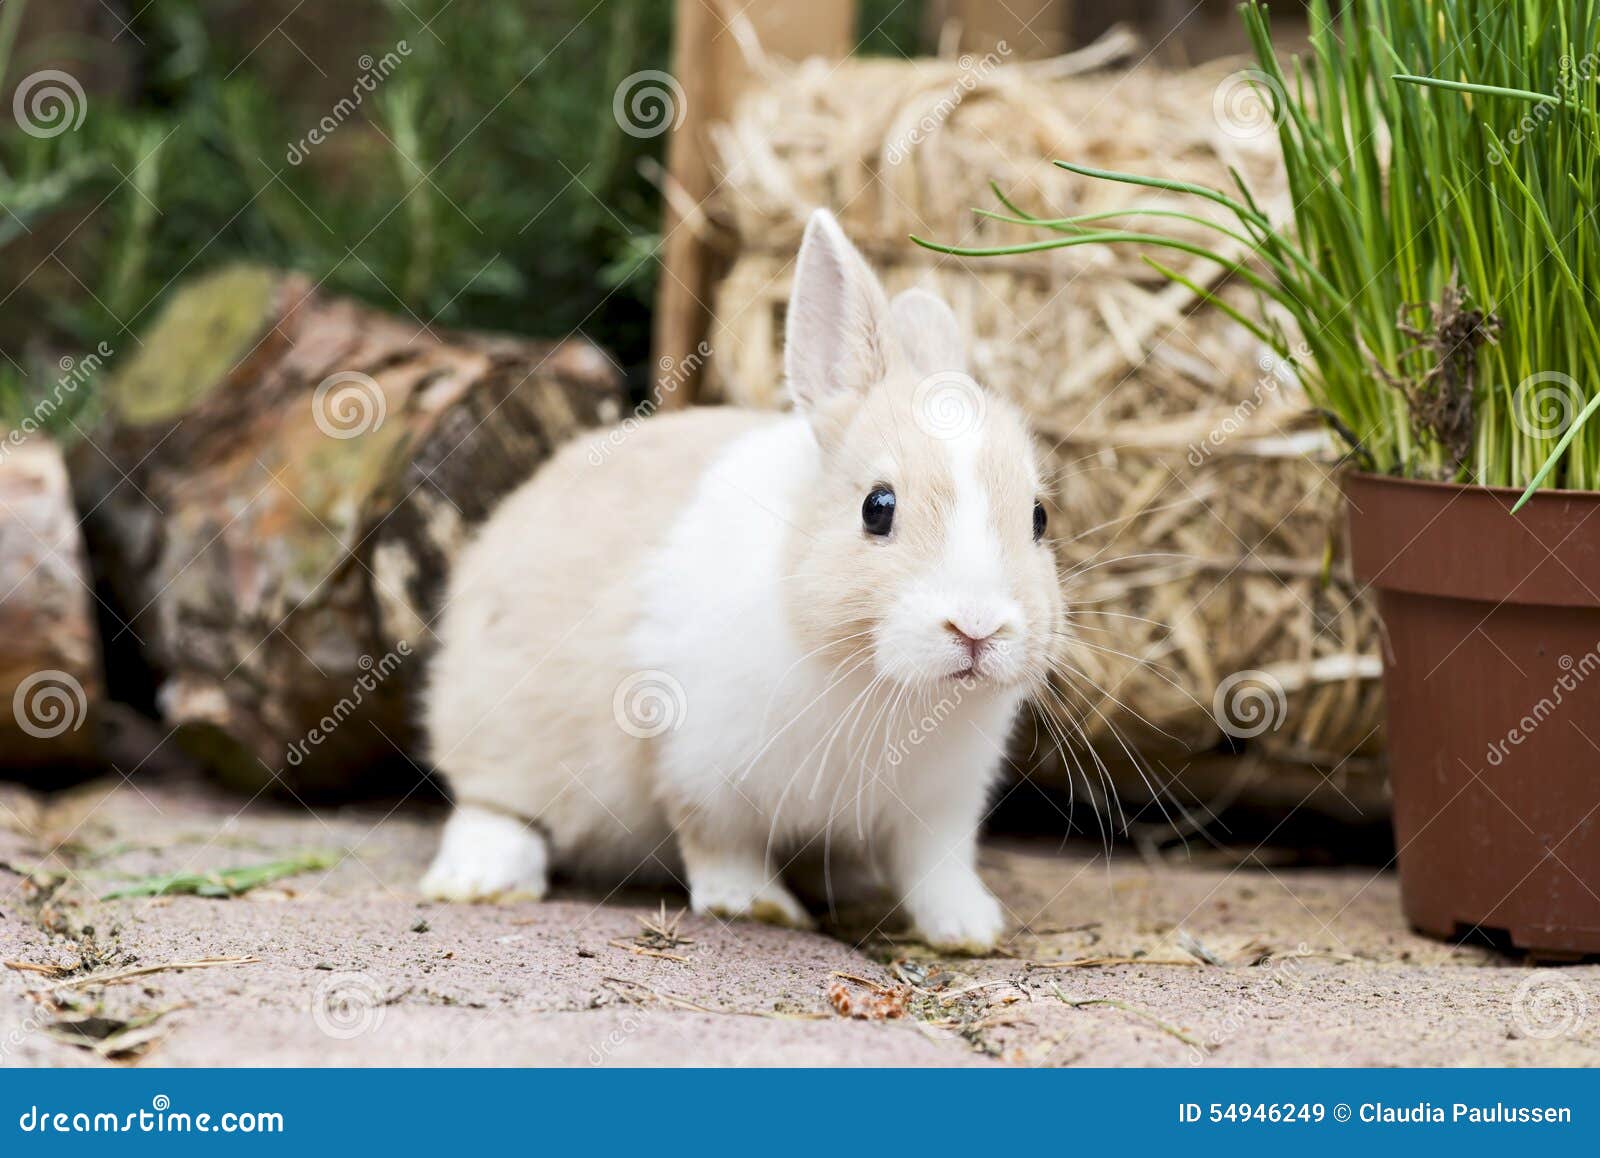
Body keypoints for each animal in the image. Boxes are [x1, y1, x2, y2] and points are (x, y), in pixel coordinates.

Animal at [419, 208, 1068, 952]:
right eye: (878, 508)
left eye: (1039, 517)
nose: (978, 626)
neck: (881, 685)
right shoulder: (698, 767)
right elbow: (719, 842)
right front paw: (755, 905)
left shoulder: (942, 807)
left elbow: (936, 868)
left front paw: (969, 929)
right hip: (504, 732)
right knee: (490, 803)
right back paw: (481, 879)